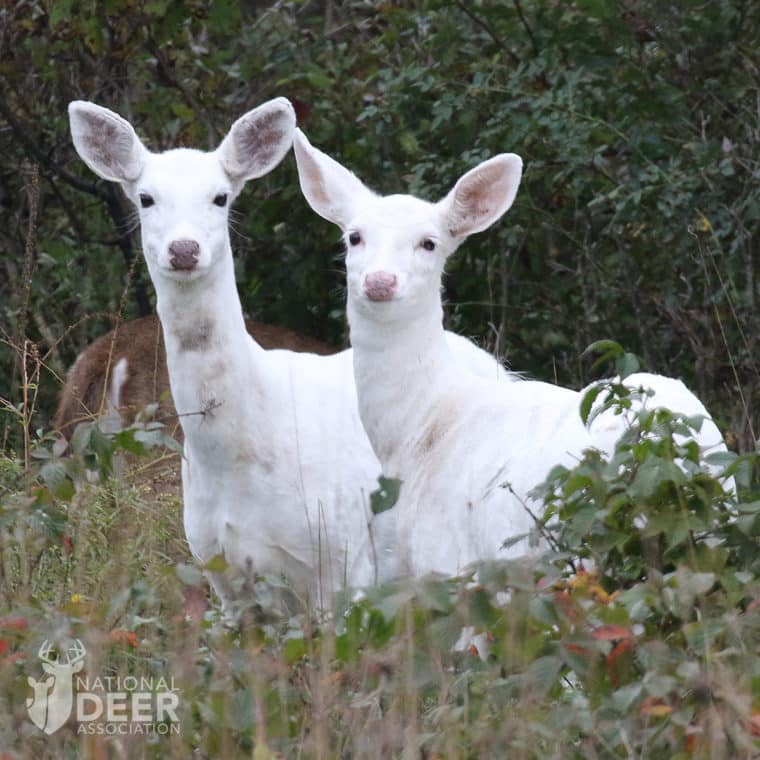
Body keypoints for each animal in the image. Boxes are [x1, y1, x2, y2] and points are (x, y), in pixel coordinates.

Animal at [67, 99, 519, 612]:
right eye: (145, 198)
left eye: (221, 197)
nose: (184, 250)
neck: (241, 453)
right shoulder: (219, 569)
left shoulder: (343, 556)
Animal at [292, 129, 734, 578]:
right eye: (354, 236)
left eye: (429, 243)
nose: (380, 281)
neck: (418, 428)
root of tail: (667, 459)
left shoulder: (449, 560)